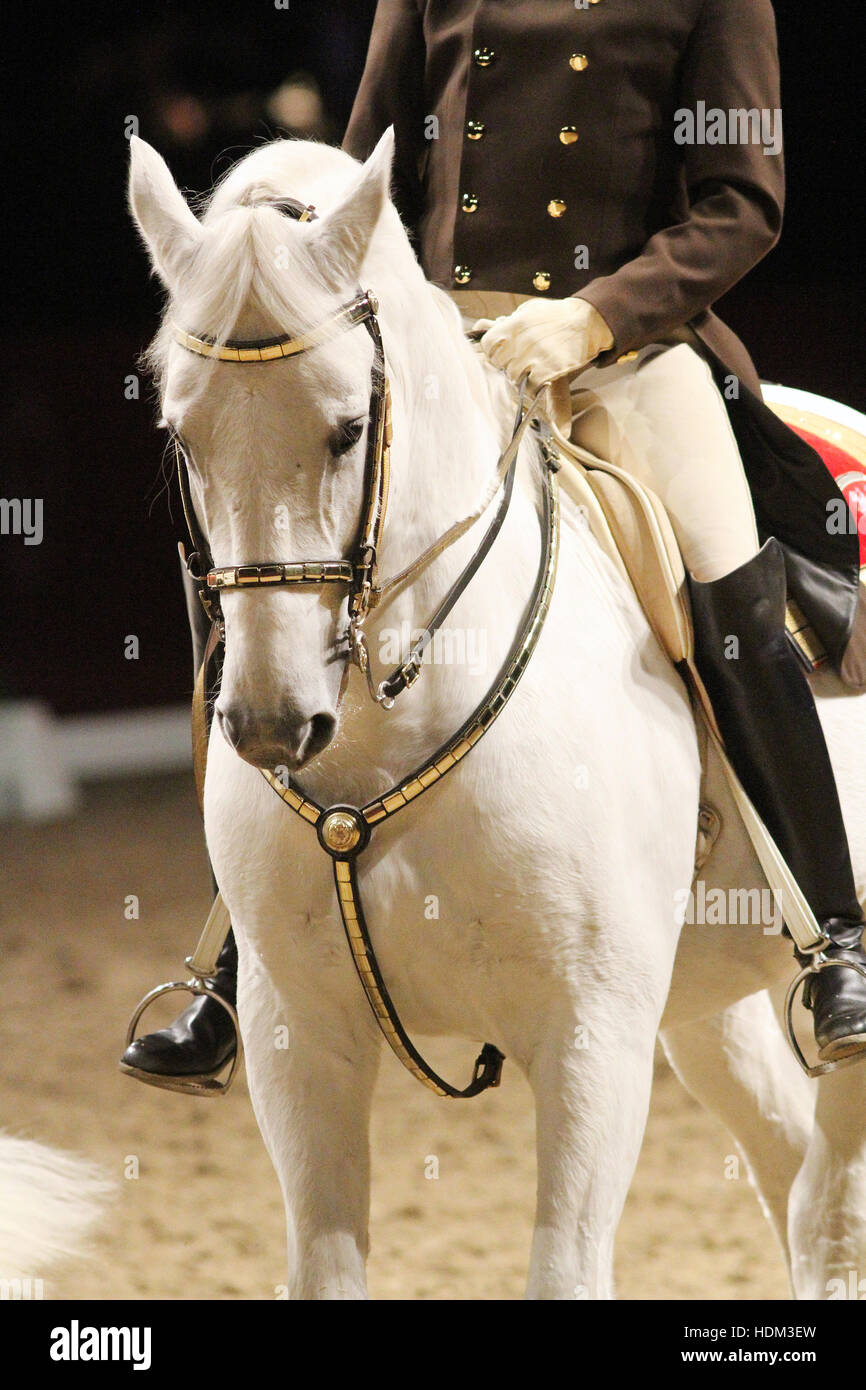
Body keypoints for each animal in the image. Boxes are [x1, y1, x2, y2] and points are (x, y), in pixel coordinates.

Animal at [128, 126, 866, 1299]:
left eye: (347, 430)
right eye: (181, 435)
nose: (271, 724)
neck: (387, 743)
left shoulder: (590, 1042)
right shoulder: (301, 1045)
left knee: (830, 1206)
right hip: (709, 1004)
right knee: (794, 1181)